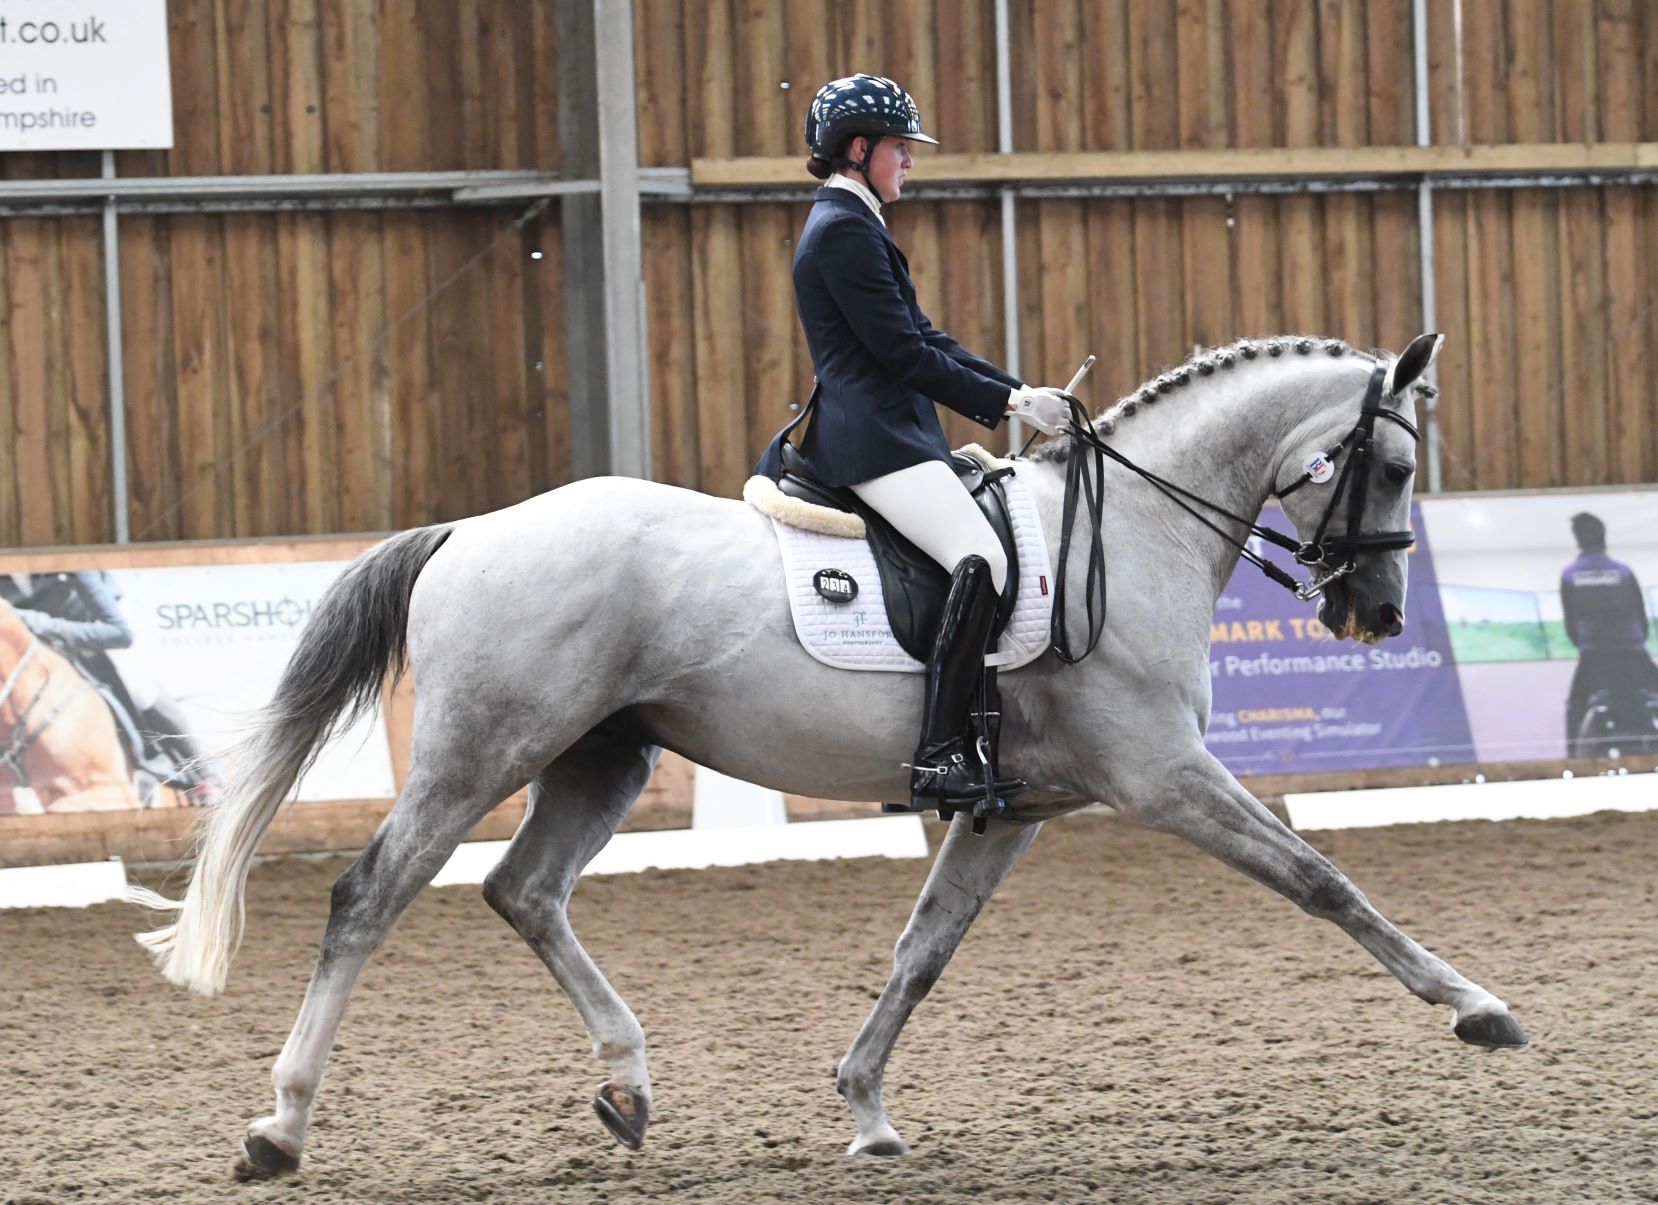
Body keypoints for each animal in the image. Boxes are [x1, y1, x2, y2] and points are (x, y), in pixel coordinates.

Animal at [130, 331, 1528, 1178]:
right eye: (1387, 460)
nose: (1375, 614)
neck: (1130, 531)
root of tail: (470, 528)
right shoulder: (1160, 775)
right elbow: (1321, 879)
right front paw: (1477, 1006)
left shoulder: (1009, 807)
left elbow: (923, 946)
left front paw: (862, 1106)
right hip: (483, 750)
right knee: (370, 894)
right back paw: (280, 1124)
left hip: (601, 757)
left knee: (523, 891)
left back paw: (627, 1087)